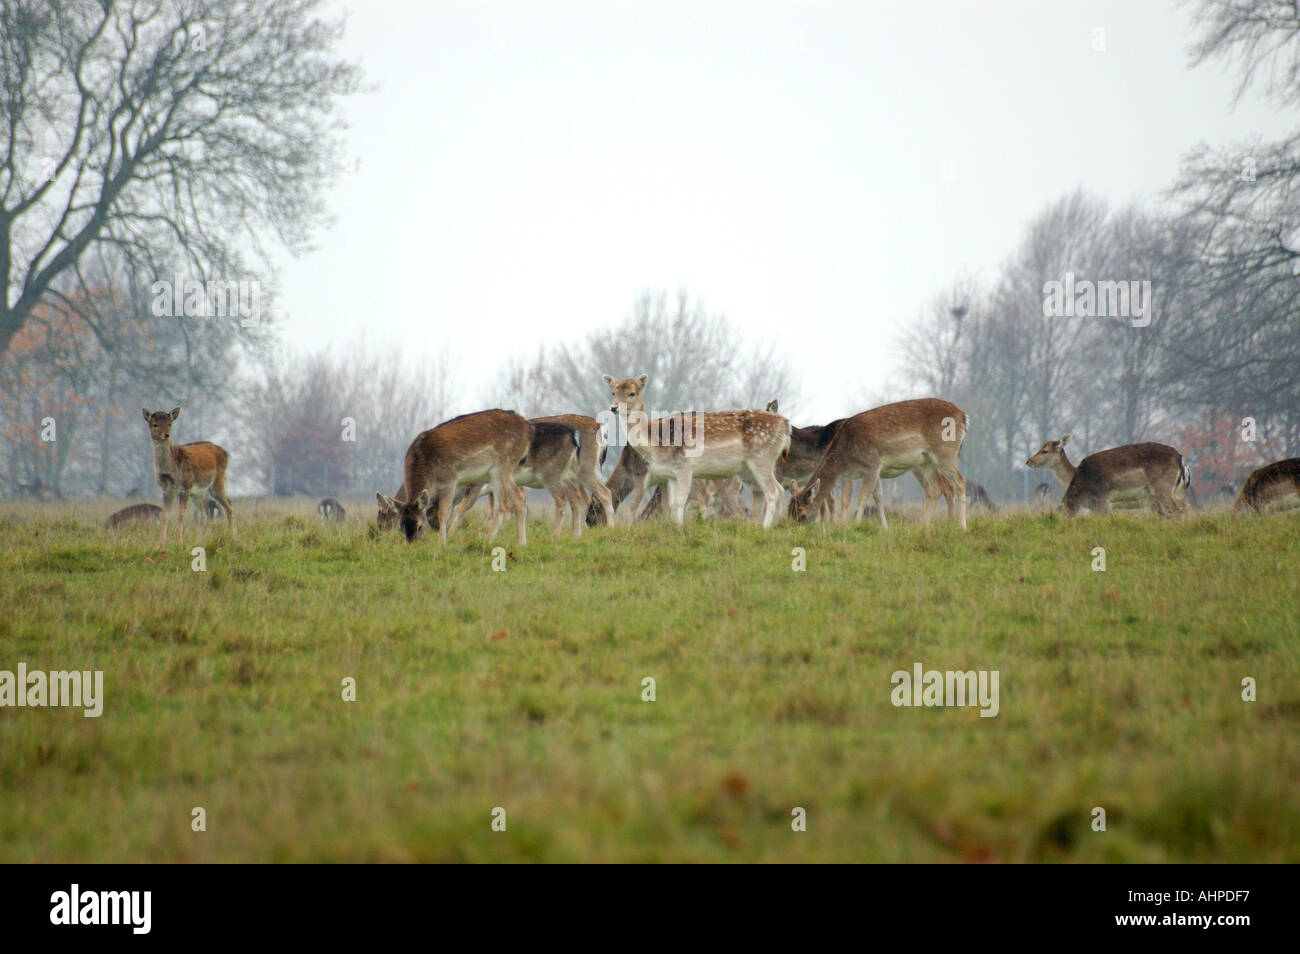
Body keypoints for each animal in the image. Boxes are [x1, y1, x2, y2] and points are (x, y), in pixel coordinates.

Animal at [142, 407, 233, 542]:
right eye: (155, 424)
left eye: (170, 424)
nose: (166, 434)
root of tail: (226, 453)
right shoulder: (166, 490)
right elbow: (165, 515)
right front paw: (161, 543)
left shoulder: (185, 487)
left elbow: (180, 515)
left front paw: (179, 541)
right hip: (198, 492)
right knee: (205, 513)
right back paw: (201, 540)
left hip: (217, 481)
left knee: (228, 505)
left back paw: (233, 535)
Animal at [376, 409, 530, 544]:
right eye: (401, 526)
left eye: (420, 526)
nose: (412, 545)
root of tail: (525, 425)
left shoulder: (450, 480)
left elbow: (443, 514)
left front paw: (442, 543)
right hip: (502, 472)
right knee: (518, 500)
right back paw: (521, 543)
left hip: (502, 466)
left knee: (503, 505)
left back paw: (488, 541)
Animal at [603, 374, 790, 527]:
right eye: (613, 393)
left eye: (632, 393)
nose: (614, 407)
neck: (656, 443)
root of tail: (785, 424)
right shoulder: (670, 475)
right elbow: (671, 505)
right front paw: (675, 527)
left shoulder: (684, 466)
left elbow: (680, 501)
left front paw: (679, 529)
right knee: (778, 490)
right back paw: (776, 525)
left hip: (761, 458)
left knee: (773, 492)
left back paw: (766, 527)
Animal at [786, 398, 969, 528]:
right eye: (789, 512)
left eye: (802, 514)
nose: (796, 530)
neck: (845, 462)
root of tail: (964, 416)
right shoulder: (875, 470)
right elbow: (878, 497)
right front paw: (885, 528)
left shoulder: (872, 463)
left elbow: (863, 496)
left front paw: (856, 524)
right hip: (926, 461)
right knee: (936, 488)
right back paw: (924, 526)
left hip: (945, 452)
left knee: (960, 481)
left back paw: (961, 525)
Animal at [1026, 435, 1190, 518]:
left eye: (1045, 451)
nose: (1028, 461)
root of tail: (1180, 458)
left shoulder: (1104, 502)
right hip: (1168, 493)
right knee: (1181, 507)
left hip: (1161, 487)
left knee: (1177, 508)